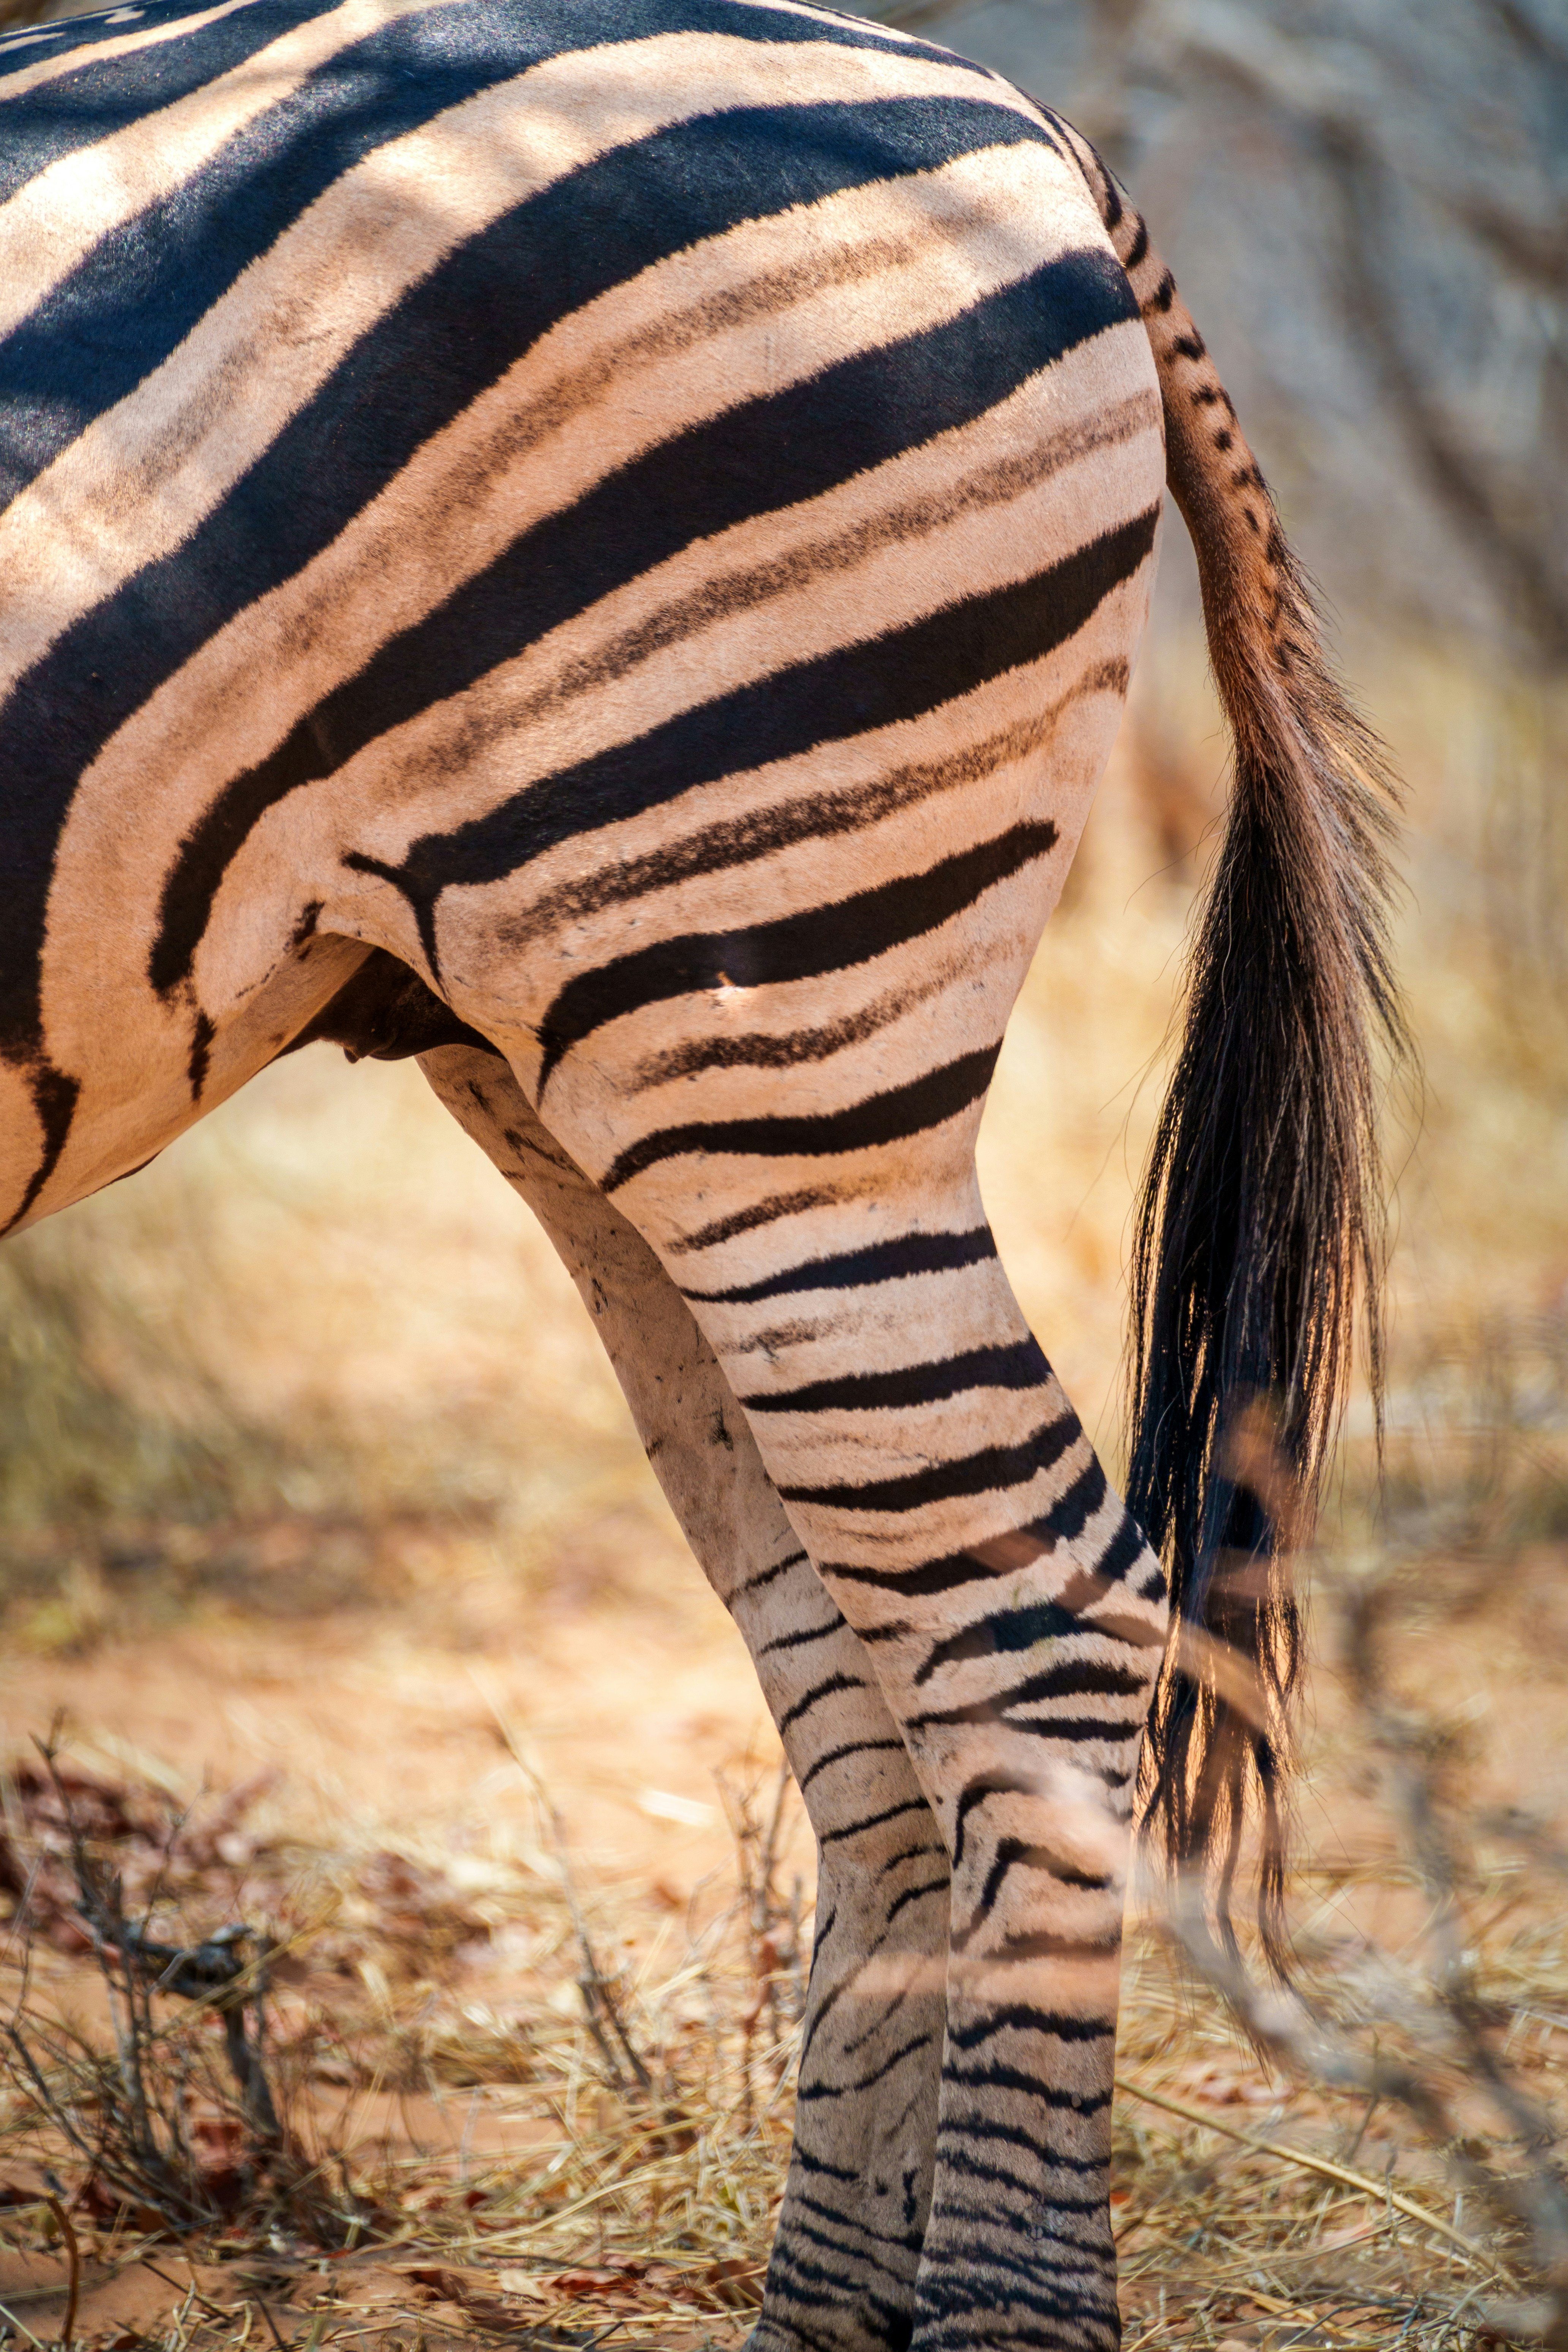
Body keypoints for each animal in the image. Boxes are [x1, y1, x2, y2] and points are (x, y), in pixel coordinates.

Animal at [0, 0, 1401, 2343]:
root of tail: (1012, 115)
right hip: (599, 1055)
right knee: (864, 1683)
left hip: (760, 979)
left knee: (1029, 1630)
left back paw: (1005, 2306)